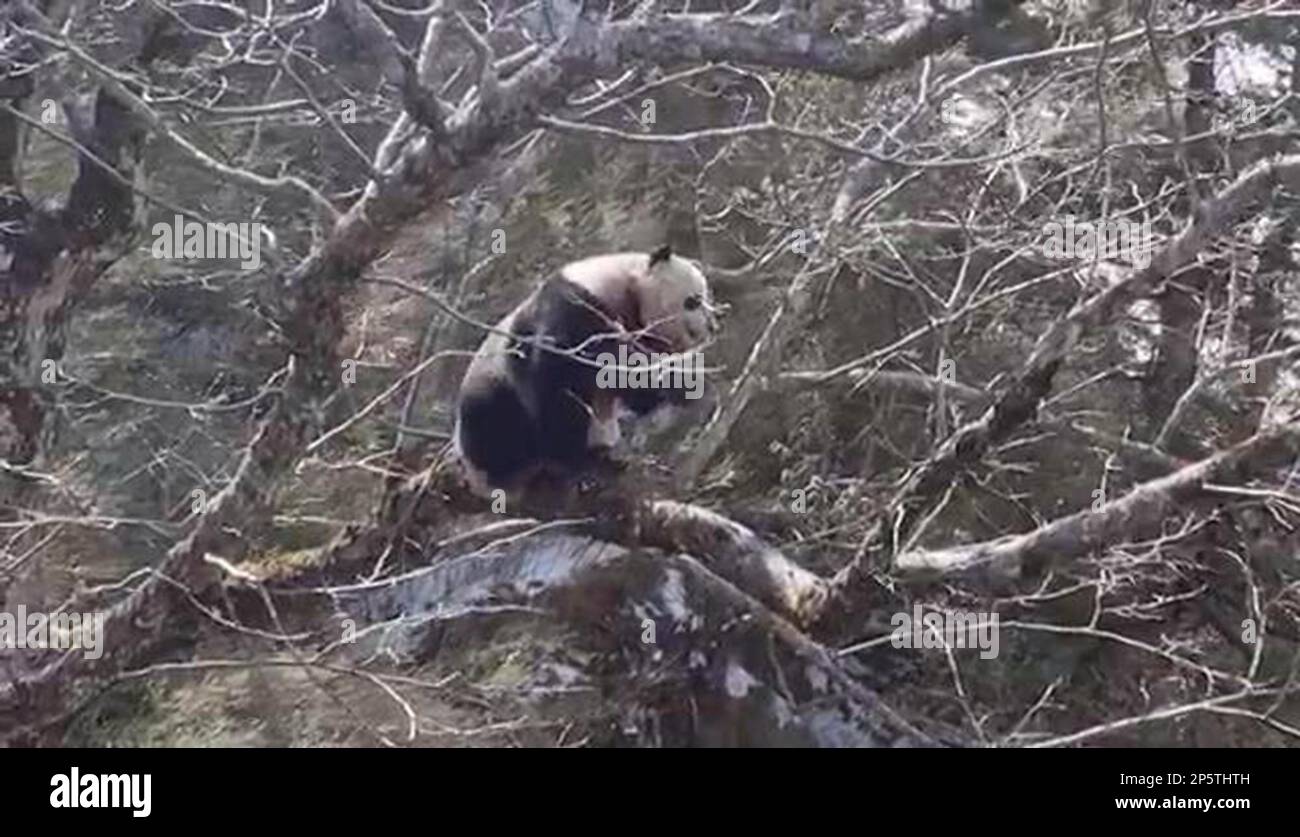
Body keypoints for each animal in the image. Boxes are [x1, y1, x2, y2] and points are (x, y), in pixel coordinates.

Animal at [453, 245, 718, 495]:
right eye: (694, 300)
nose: (713, 326)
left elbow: (631, 384)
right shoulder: (572, 308)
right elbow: (557, 379)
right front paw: (572, 458)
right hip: (491, 399)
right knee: (500, 429)